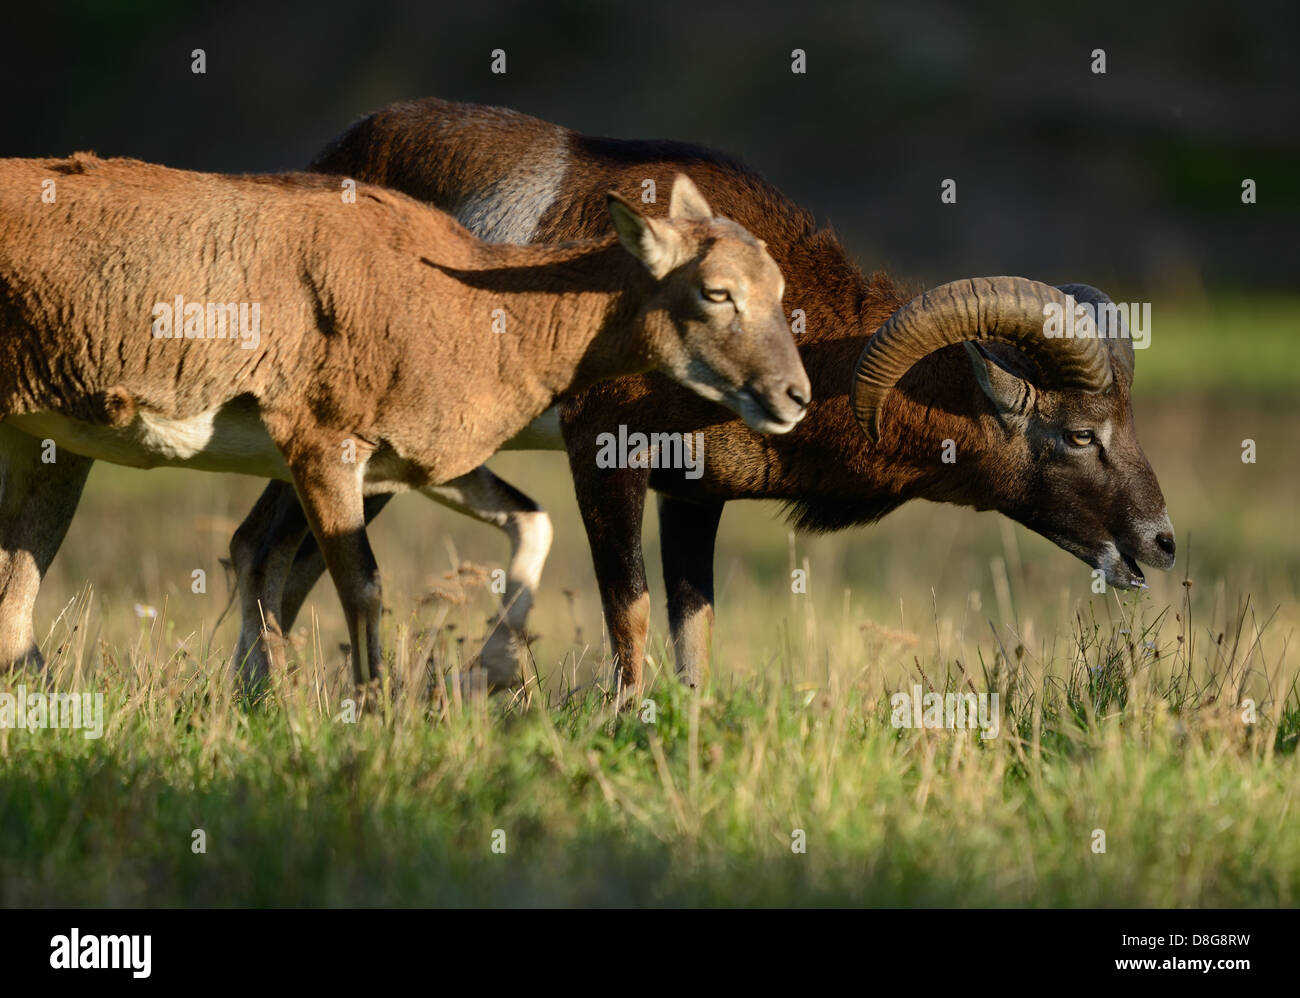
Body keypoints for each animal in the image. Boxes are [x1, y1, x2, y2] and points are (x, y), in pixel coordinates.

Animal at [0, 154, 810, 686]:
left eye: (778, 287)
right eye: (716, 292)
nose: (794, 396)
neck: (463, 305)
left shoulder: (406, 462)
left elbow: (530, 520)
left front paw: (497, 669)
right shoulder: (322, 444)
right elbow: (363, 588)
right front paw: (367, 711)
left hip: (44, 444)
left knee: (16, 605)